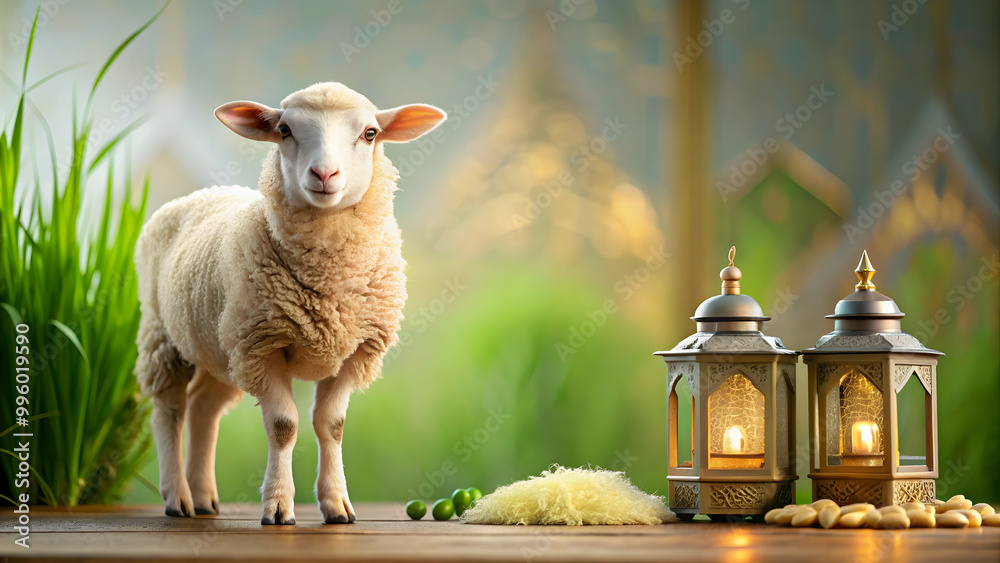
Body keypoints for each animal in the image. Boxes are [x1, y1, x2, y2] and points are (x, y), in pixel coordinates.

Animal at [134, 82, 446, 525]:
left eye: (370, 133)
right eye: (284, 130)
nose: (325, 175)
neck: (328, 282)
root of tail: (198, 193)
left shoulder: (354, 351)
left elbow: (332, 425)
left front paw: (336, 505)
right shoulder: (264, 347)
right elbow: (284, 425)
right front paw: (279, 507)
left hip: (222, 347)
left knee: (204, 409)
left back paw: (205, 496)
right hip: (164, 338)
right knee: (169, 411)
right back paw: (177, 497)